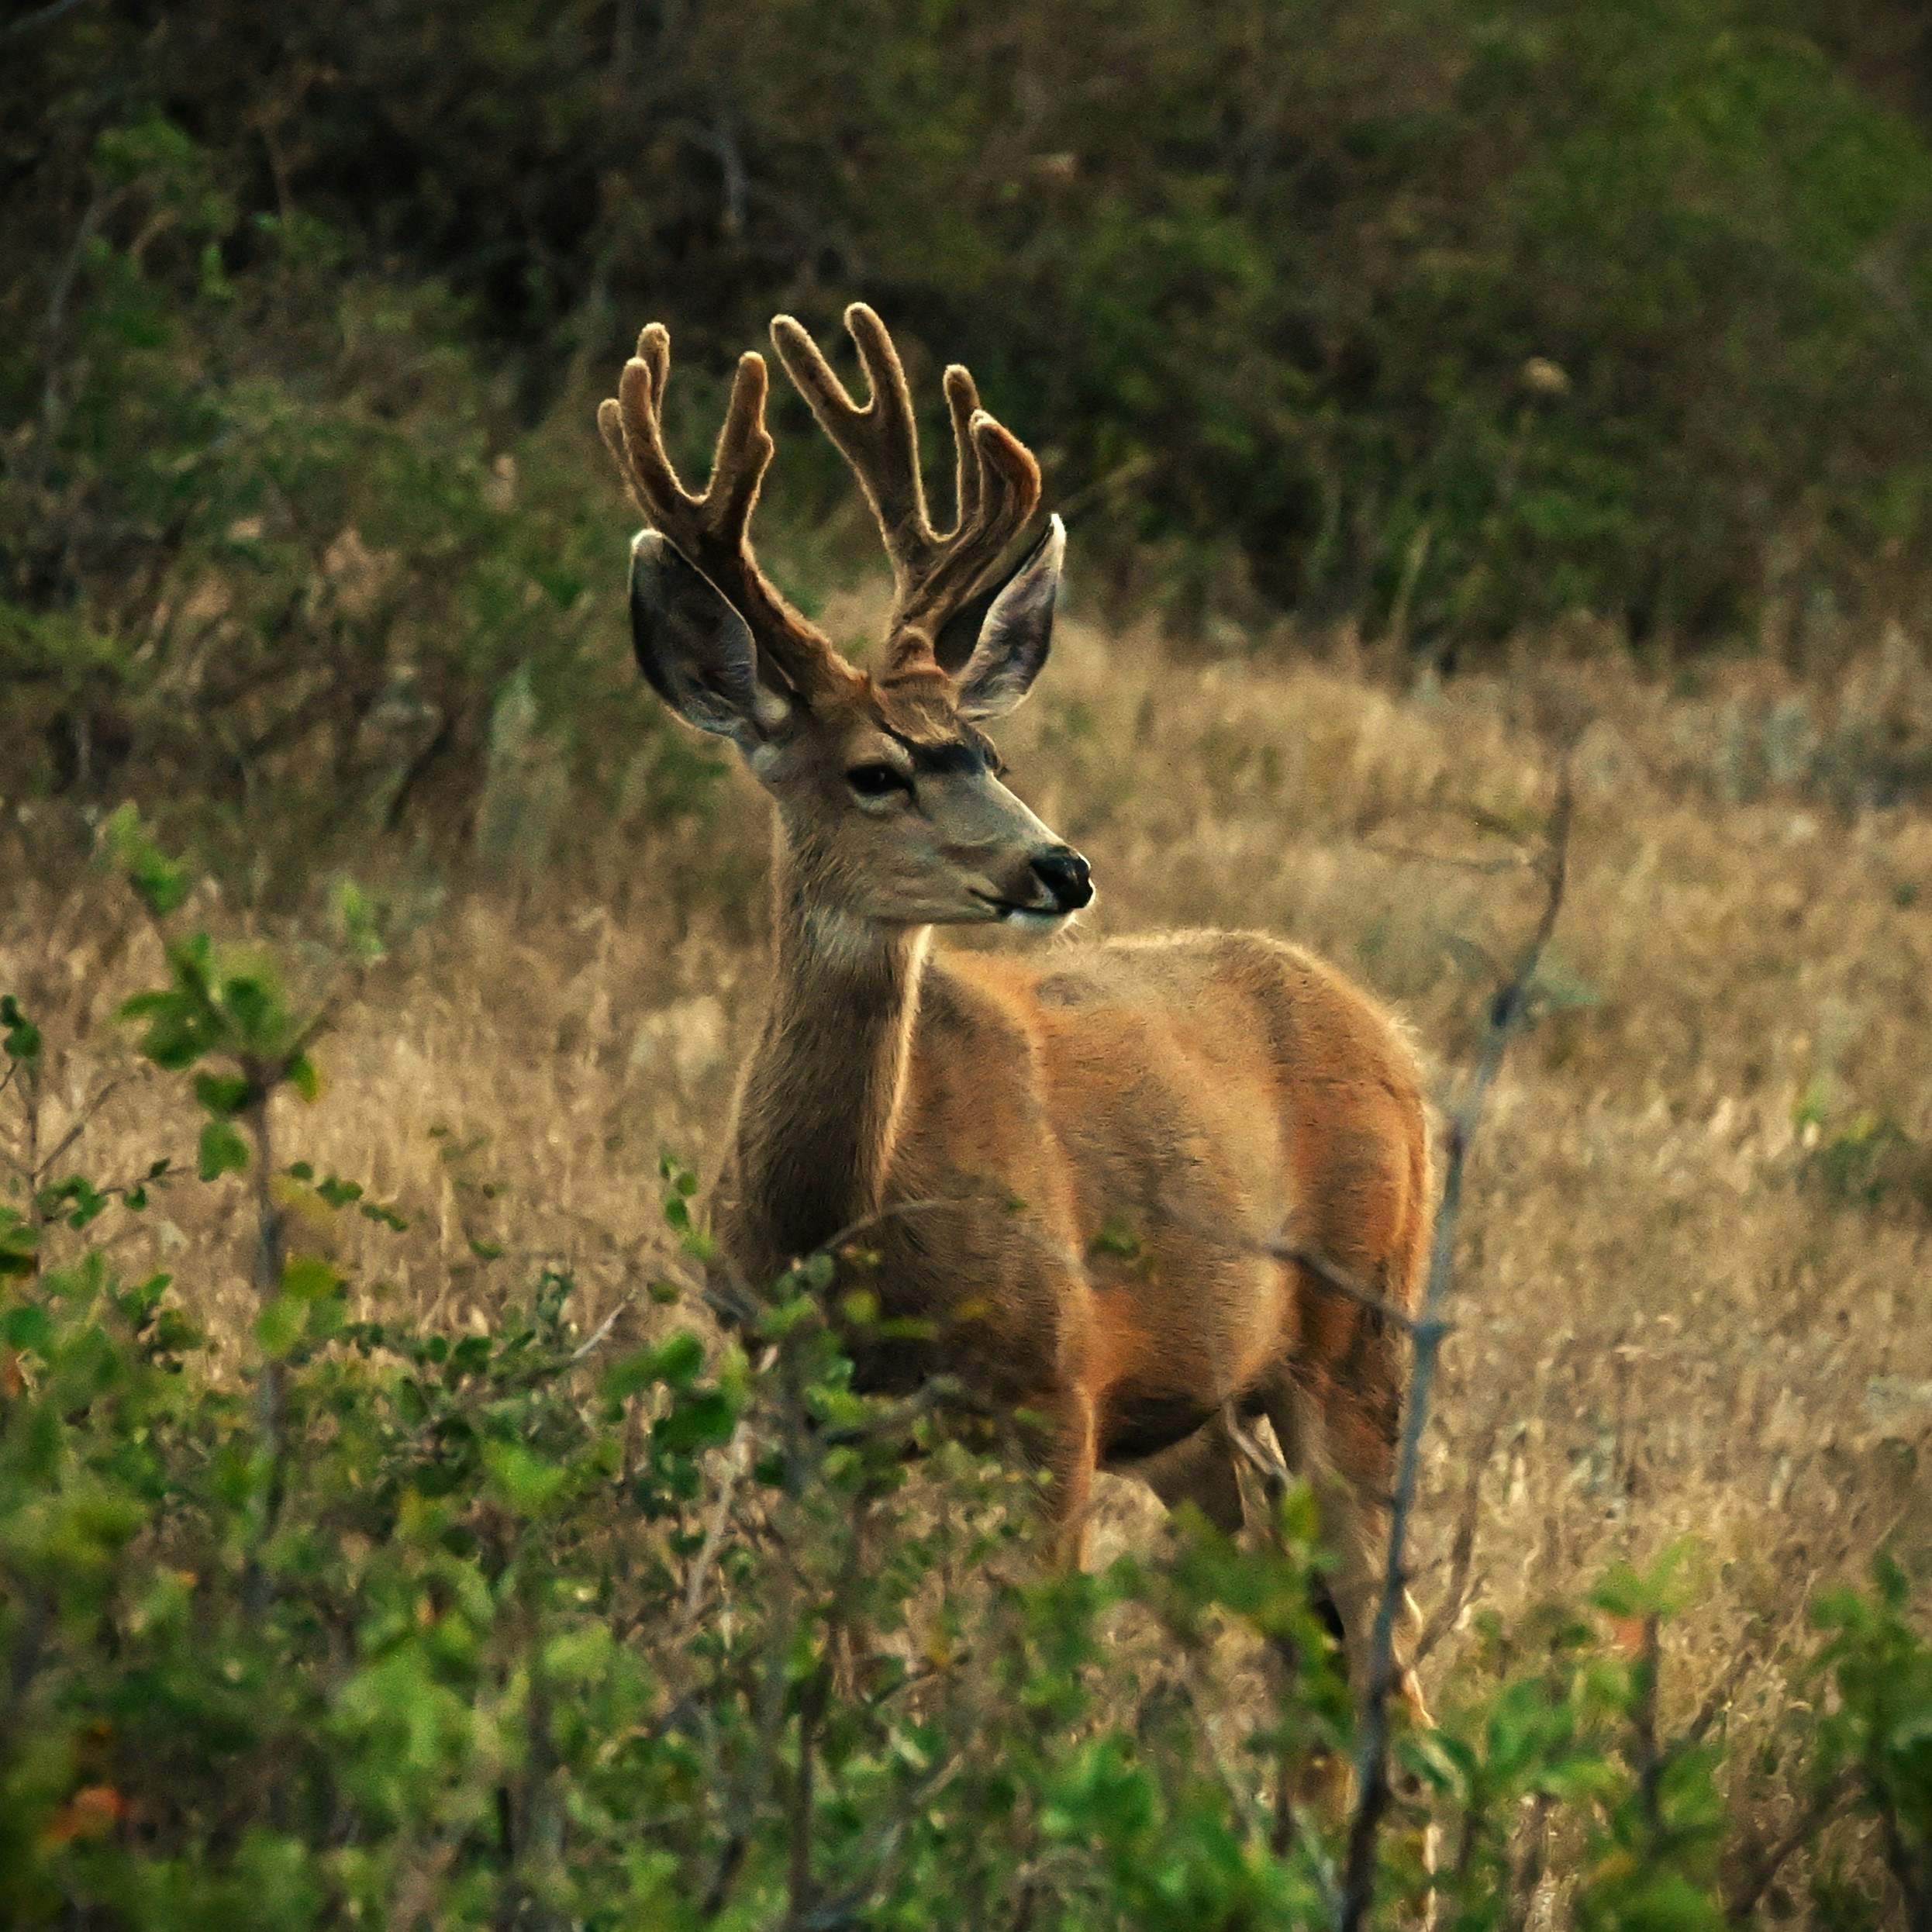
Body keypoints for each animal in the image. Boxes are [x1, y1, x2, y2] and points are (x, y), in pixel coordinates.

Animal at [596, 304, 1432, 1708]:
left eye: (988, 751)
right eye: (874, 773)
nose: (1060, 867)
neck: (846, 1229)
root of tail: (1399, 1043)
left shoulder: (1062, 1387)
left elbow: (1016, 1688)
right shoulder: (803, 1405)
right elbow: (812, 1652)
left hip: (1358, 1328)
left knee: (1382, 1635)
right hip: (1208, 1418)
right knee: (1292, 1620)